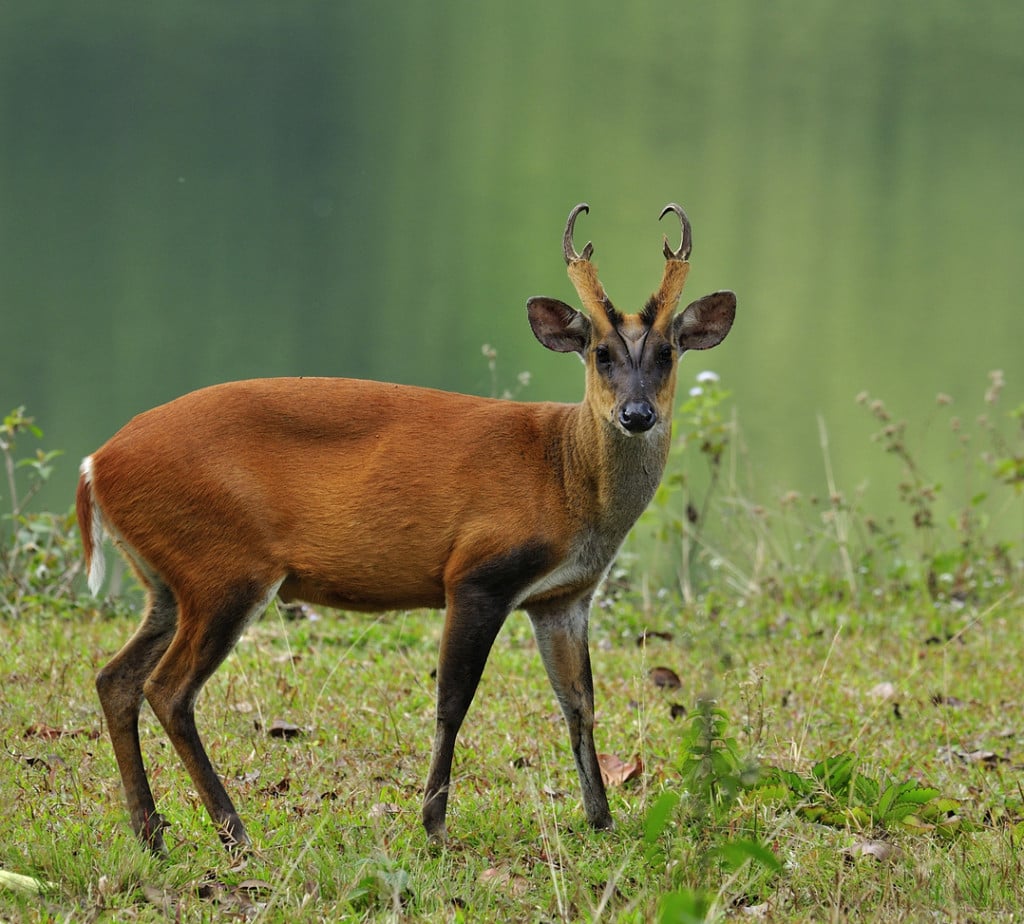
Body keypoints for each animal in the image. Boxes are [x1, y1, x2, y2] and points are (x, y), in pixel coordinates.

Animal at [76, 202, 736, 854]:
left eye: (667, 353)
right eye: (600, 352)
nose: (636, 414)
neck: (565, 474)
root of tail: (95, 464)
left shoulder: (563, 596)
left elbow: (579, 704)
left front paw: (601, 819)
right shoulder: (477, 573)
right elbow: (453, 702)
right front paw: (434, 825)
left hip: (169, 580)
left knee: (116, 678)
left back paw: (151, 833)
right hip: (224, 568)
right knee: (168, 690)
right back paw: (233, 833)